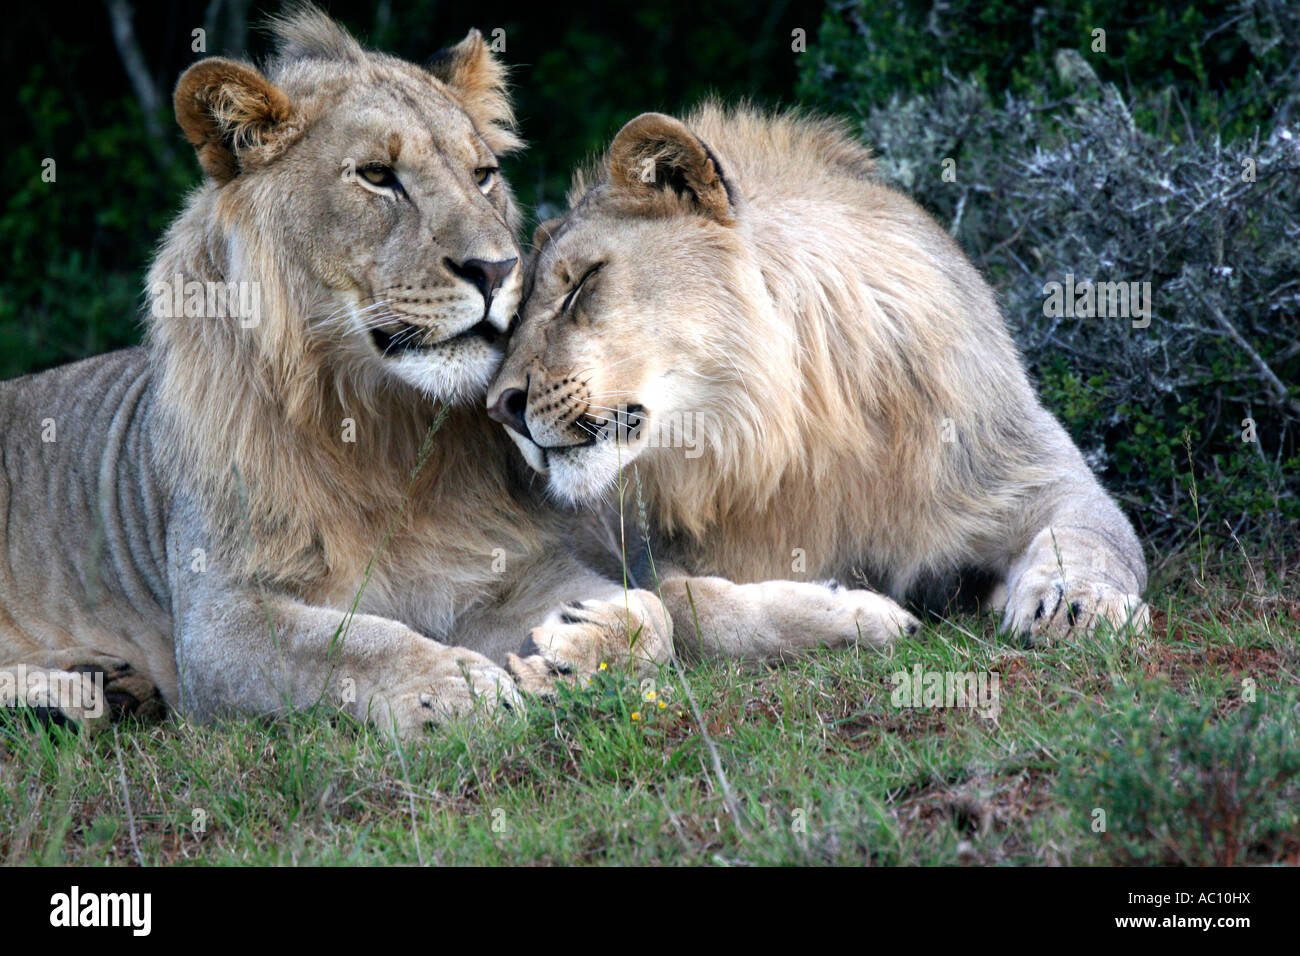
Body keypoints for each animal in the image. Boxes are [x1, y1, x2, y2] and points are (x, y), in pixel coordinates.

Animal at [489, 103, 1150, 680]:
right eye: (515, 318)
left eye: (582, 284)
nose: (501, 408)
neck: (789, 431)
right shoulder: (658, 556)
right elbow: (690, 608)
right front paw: (860, 614)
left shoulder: (1028, 471)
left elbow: (1091, 536)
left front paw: (1075, 605)